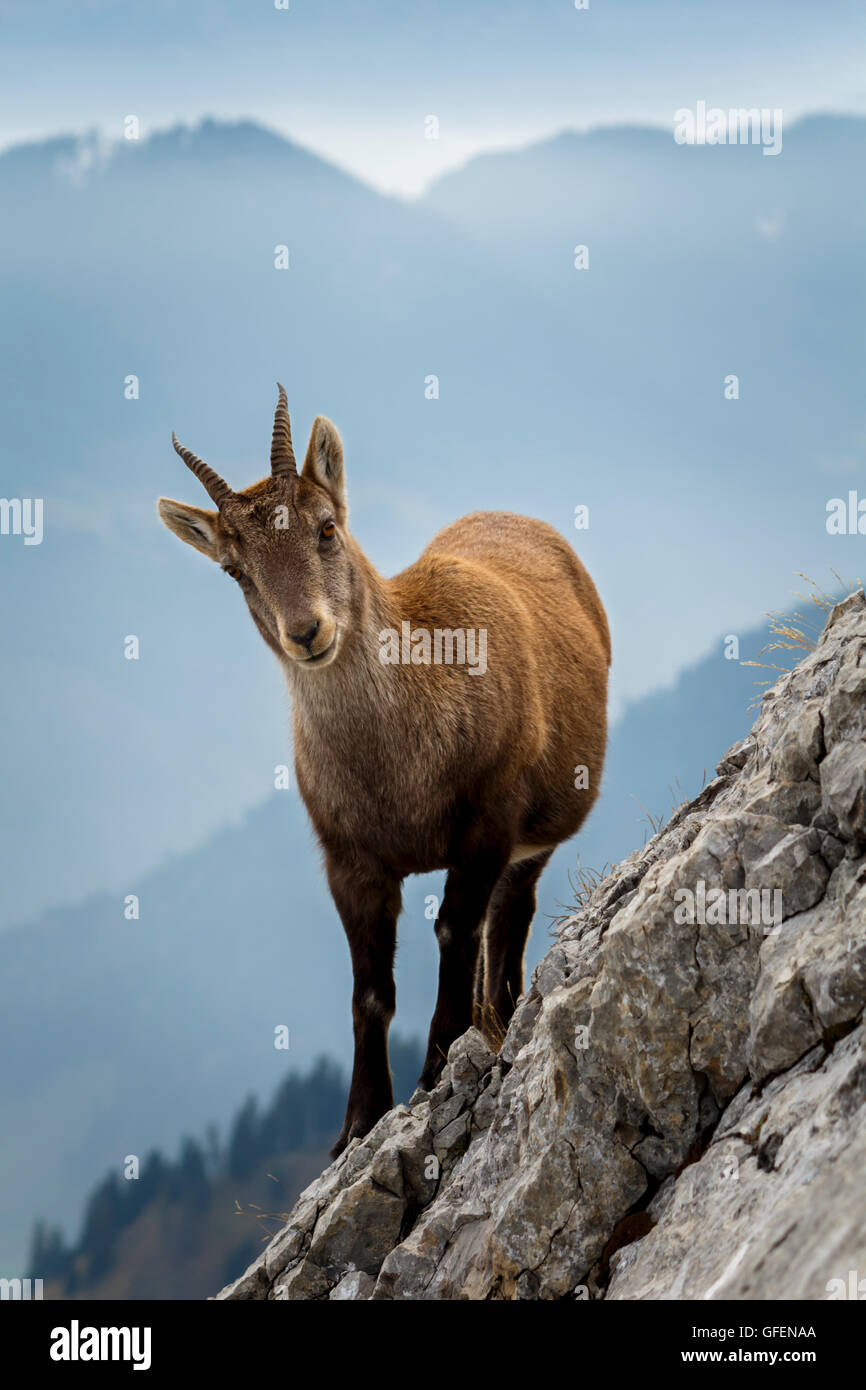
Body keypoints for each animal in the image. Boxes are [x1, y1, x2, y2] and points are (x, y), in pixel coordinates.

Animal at [158, 386, 610, 1155]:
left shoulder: (487, 825)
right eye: (234, 569)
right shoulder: (350, 861)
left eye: (326, 528)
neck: (396, 763)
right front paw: (358, 1124)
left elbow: (454, 931)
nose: (307, 632)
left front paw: (438, 1067)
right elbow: (369, 992)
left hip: (537, 829)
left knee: (509, 909)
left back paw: (498, 1014)